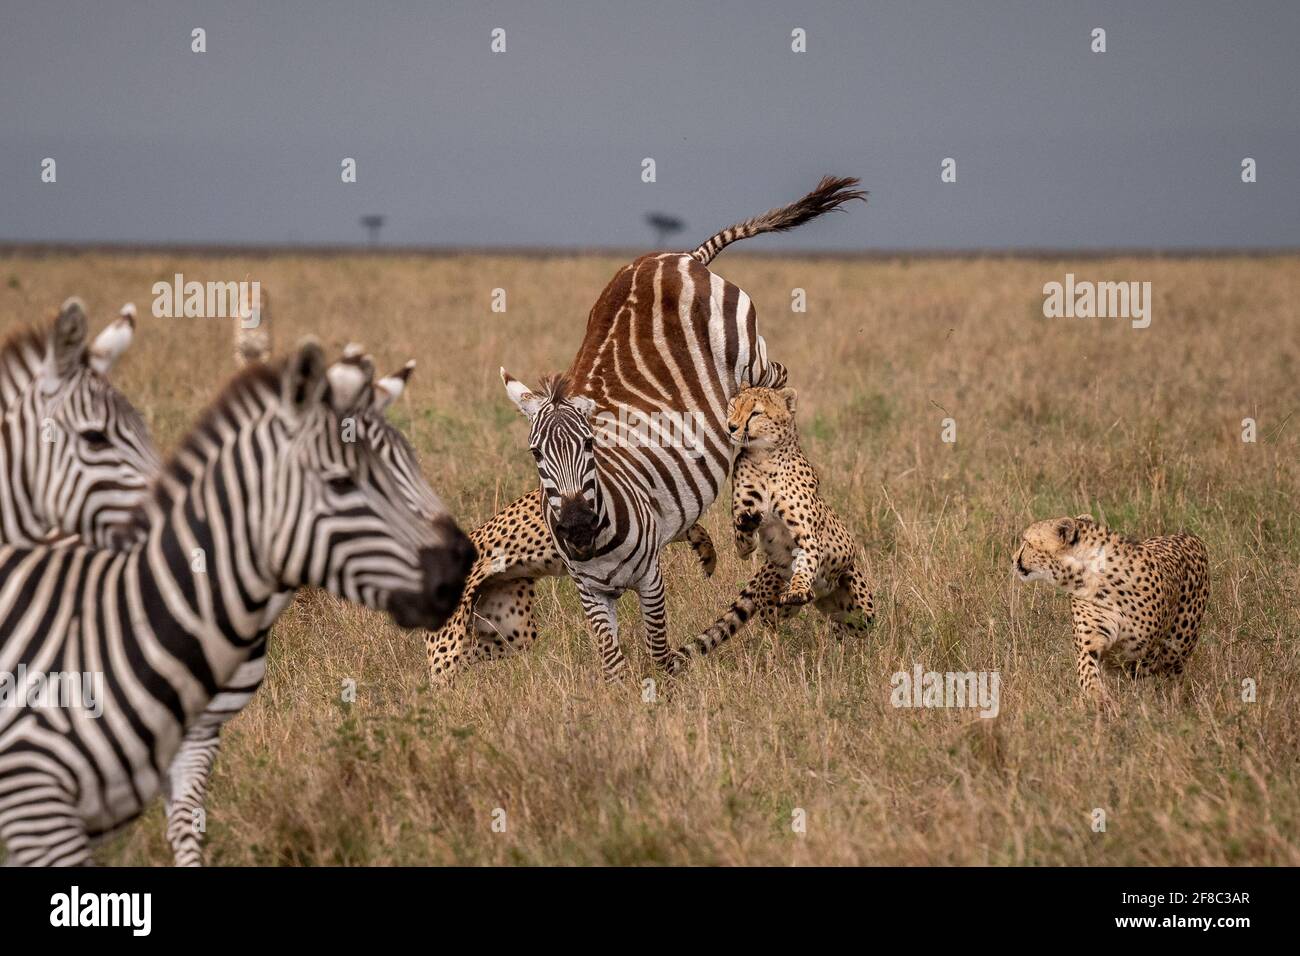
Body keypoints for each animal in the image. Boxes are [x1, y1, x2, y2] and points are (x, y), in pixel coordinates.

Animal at [492, 176, 866, 680]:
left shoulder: (651, 581)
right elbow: (612, 662)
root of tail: (679, 257)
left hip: (750, 354)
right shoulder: (590, 592)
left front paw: (665, 693)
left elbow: (658, 651)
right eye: (536, 454)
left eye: (589, 446)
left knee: (776, 377)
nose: (577, 528)